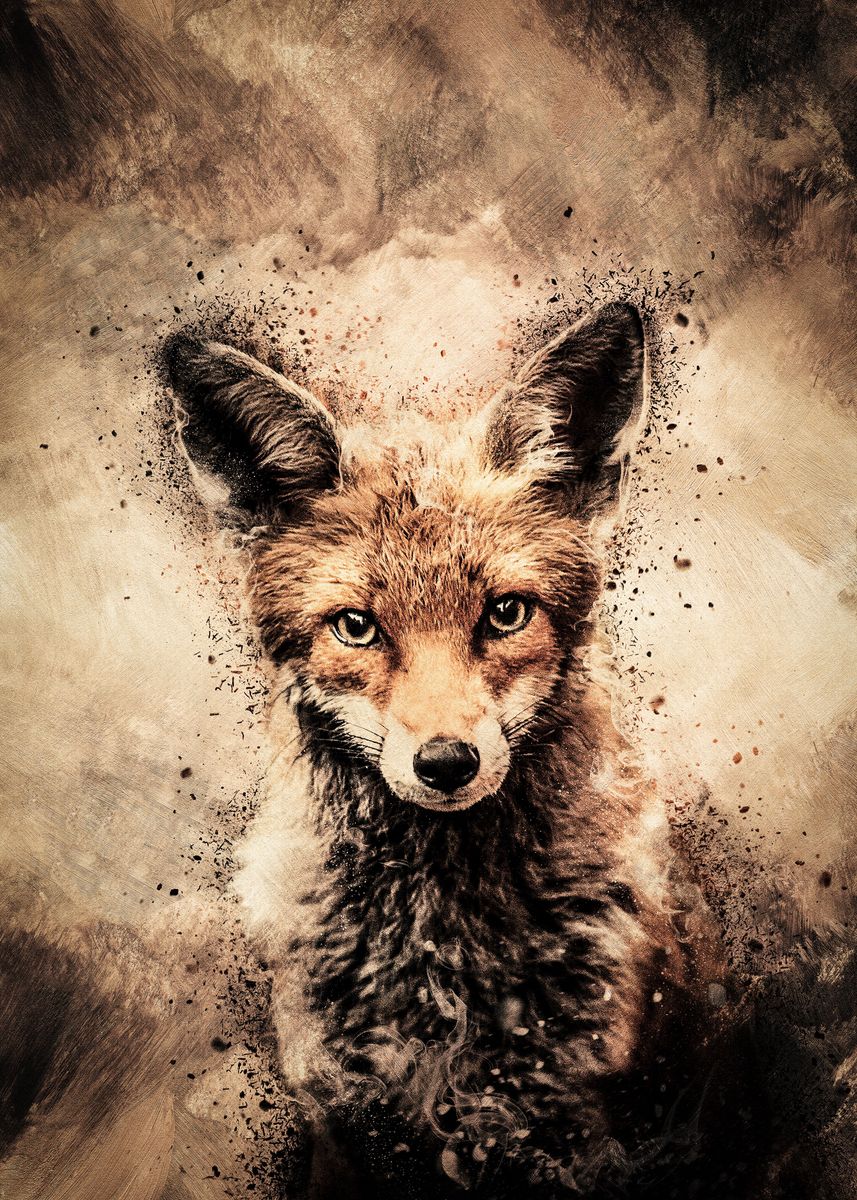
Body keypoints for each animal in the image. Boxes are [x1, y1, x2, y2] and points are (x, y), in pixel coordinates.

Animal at [163, 303, 736, 1199]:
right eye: (355, 626)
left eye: (505, 613)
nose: (444, 764)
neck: (440, 948)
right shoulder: (347, 1110)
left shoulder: (568, 1116)